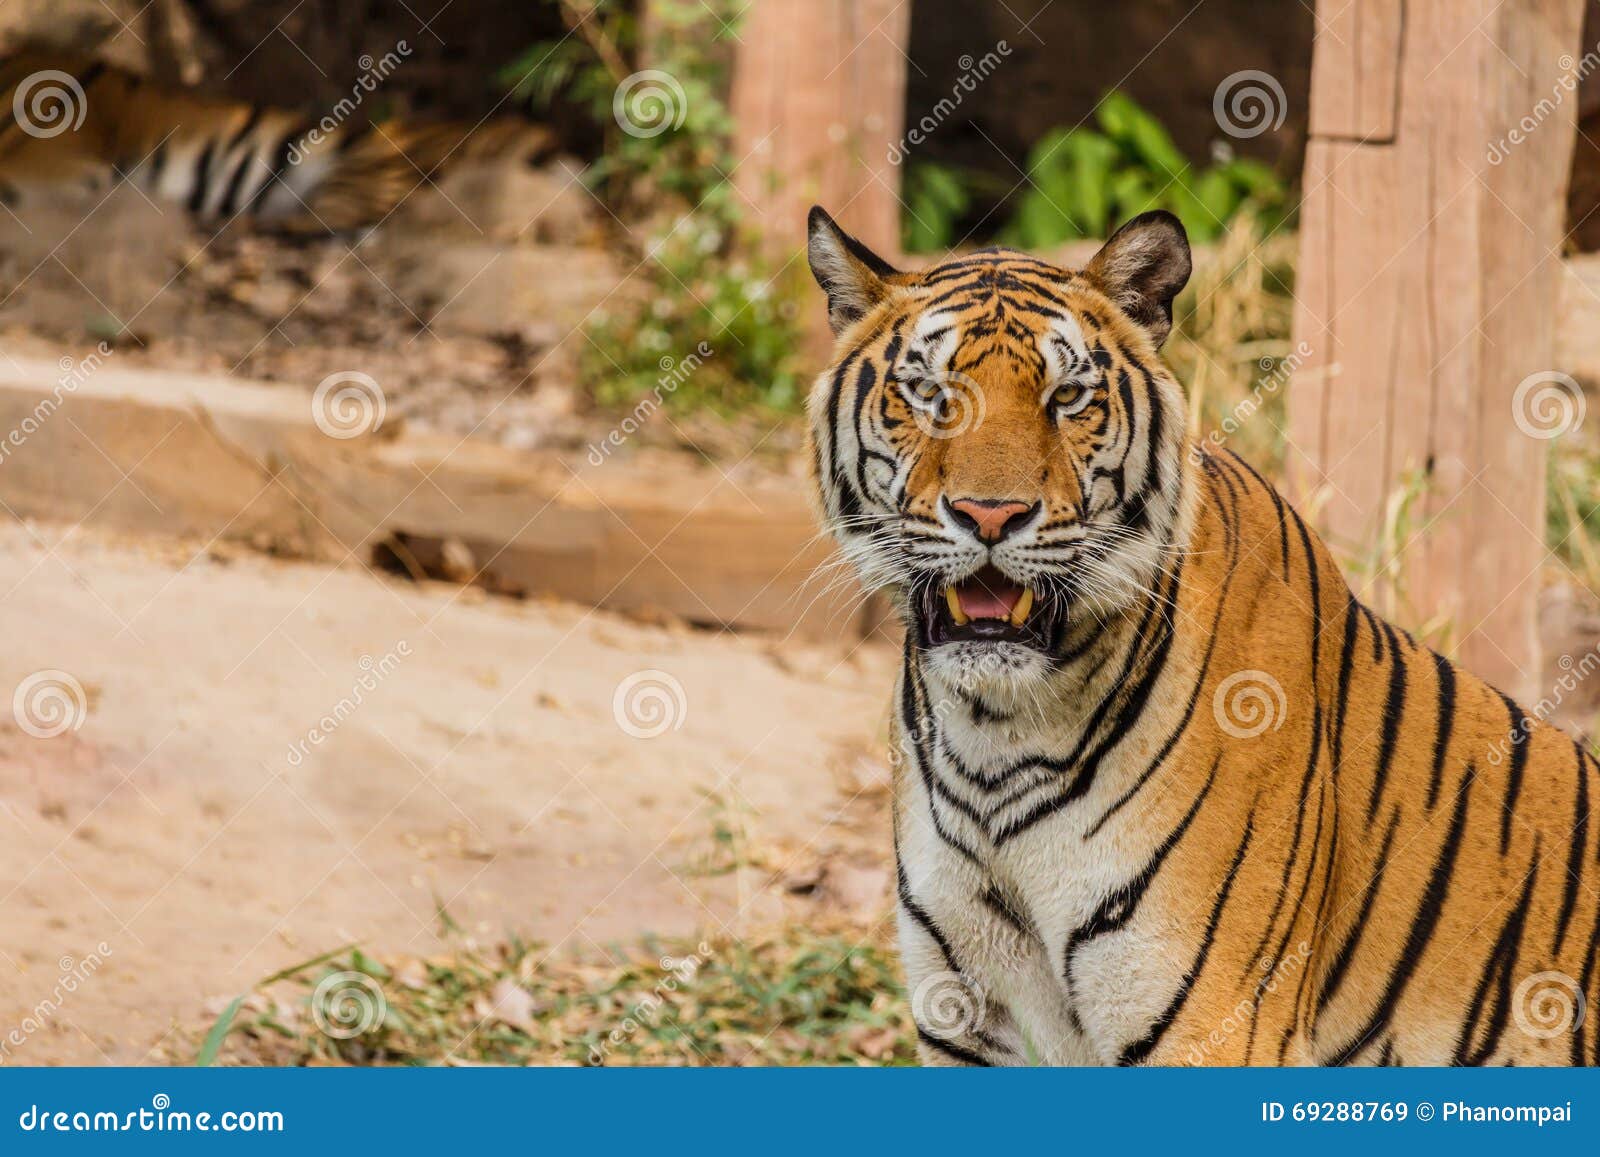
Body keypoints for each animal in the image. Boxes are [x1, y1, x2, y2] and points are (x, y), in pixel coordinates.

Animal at [804, 204, 1600, 1066]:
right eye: (928, 392)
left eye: (1068, 396)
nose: (990, 514)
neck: (996, 734)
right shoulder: (967, 1020)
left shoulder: (1212, 1021)